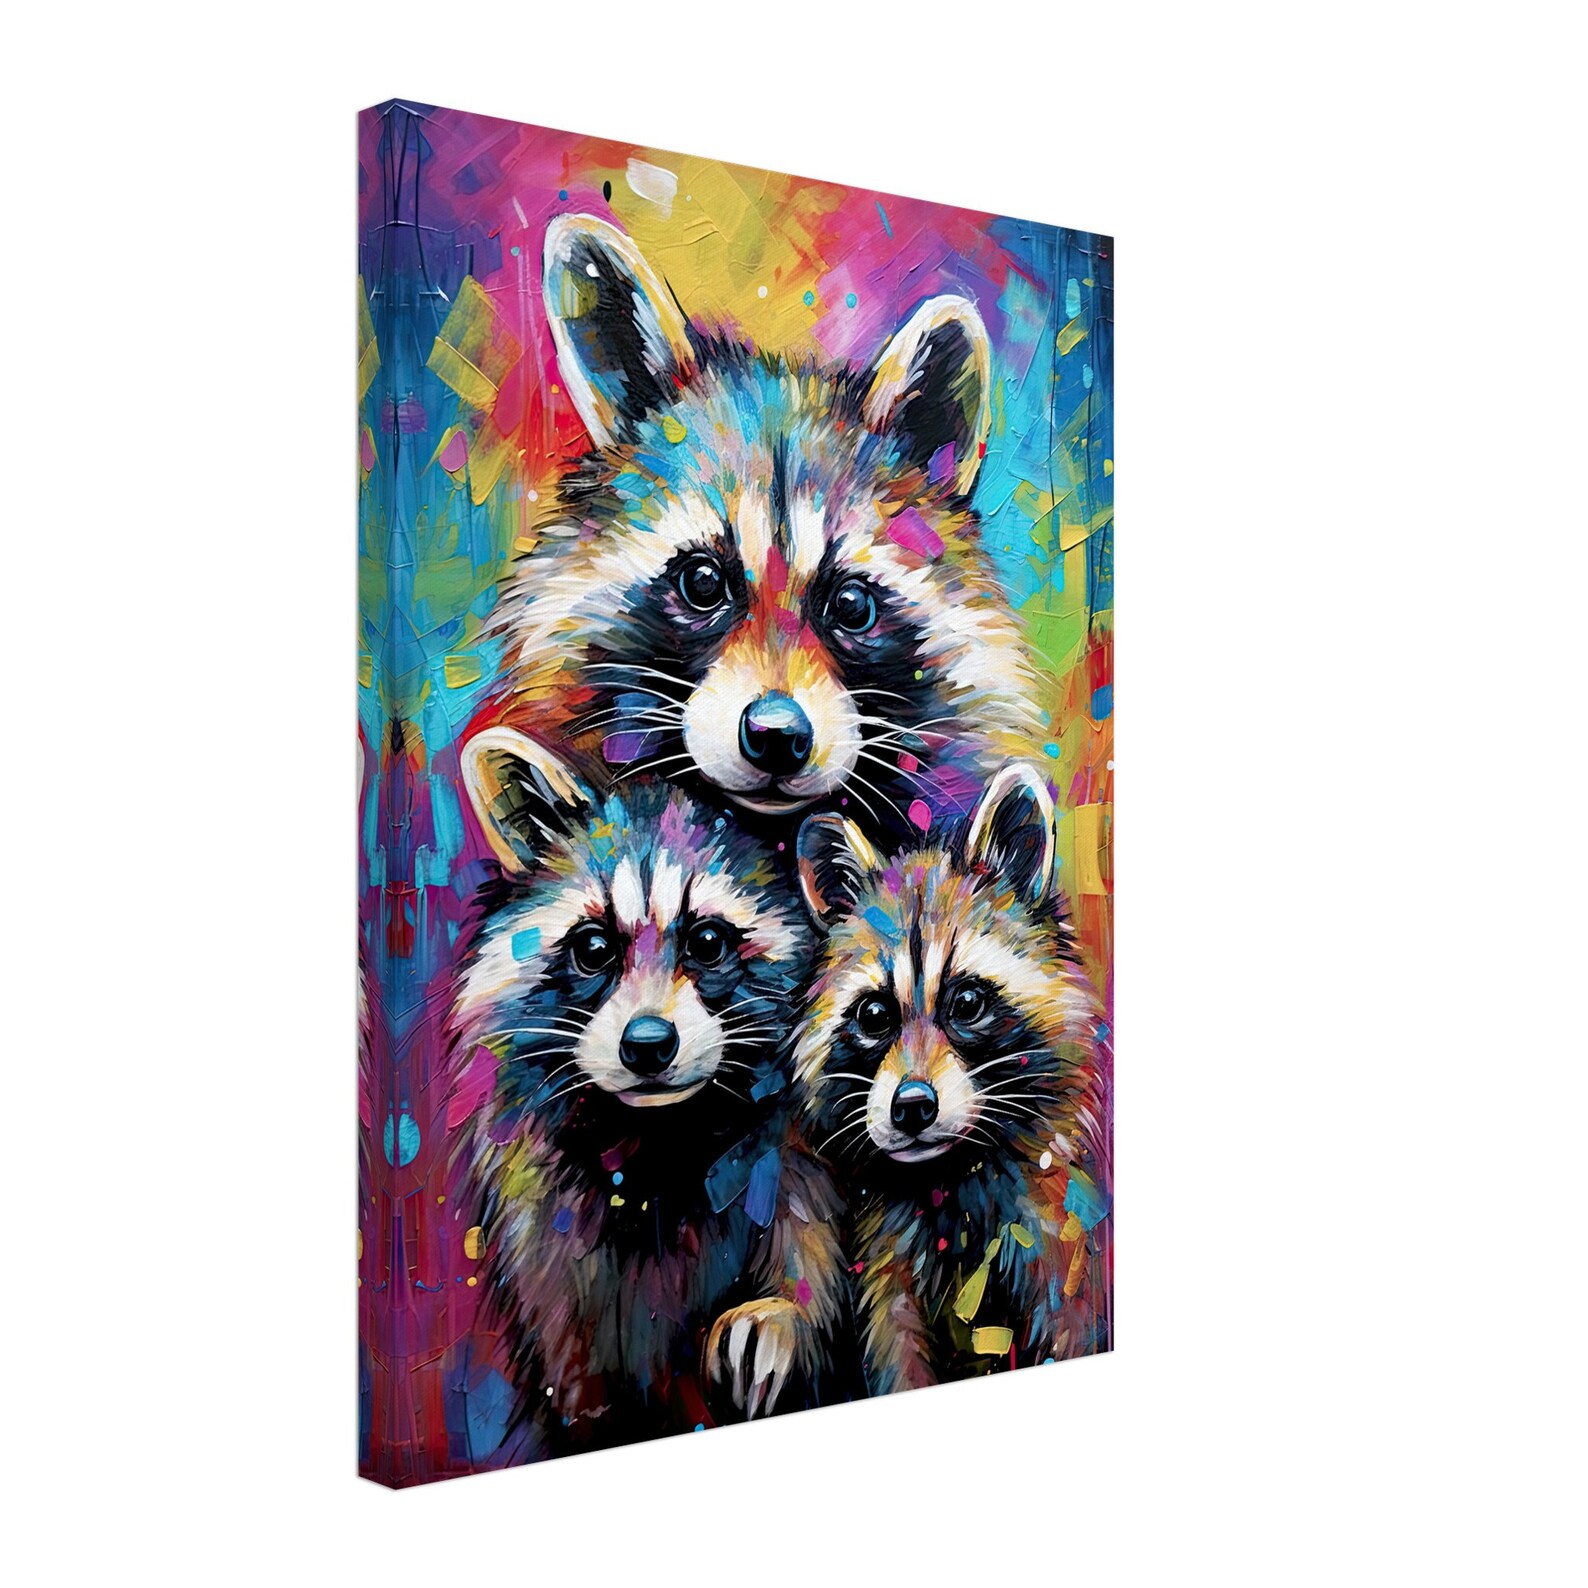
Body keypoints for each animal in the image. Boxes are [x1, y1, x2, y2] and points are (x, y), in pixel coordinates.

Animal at [451, 727, 847, 1448]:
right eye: (593, 948)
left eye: (709, 941)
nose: (647, 1045)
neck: (656, 1135)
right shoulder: (547, 1230)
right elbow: (574, 1362)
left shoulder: (791, 1160)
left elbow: (809, 1238)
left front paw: (781, 1312)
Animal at [793, 763, 1109, 1394]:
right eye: (873, 1015)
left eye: (966, 1002)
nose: (912, 1106)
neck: (953, 1174)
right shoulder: (890, 1265)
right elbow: (897, 1347)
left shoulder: (1060, 1240)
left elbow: (1069, 1320)